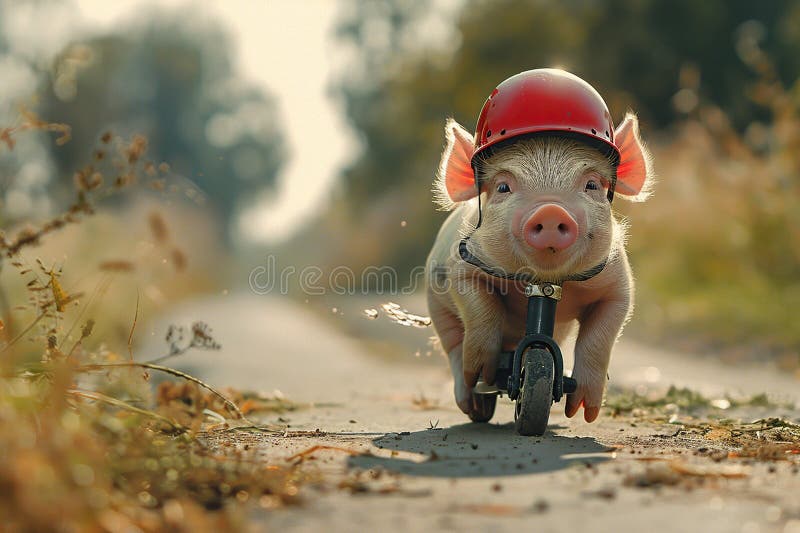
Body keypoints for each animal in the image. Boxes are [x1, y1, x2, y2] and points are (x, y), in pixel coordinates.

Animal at [426, 113, 653, 423]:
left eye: (592, 185)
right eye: (503, 187)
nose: (550, 211)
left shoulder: (617, 287)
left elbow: (600, 337)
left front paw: (584, 412)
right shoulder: (463, 268)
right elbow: (480, 309)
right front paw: (483, 374)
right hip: (438, 308)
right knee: (453, 347)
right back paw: (473, 403)